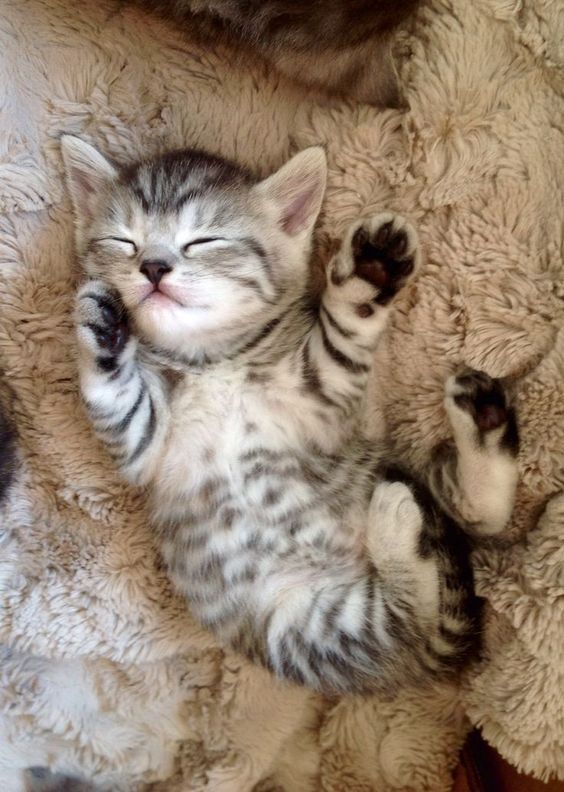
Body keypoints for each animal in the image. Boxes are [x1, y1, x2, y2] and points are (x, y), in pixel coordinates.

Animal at [62, 139, 520, 696]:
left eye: (203, 241)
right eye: (122, 241)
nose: (152, 266)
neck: (211, 361)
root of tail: (435, 664)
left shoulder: (319, 394)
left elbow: (342, 338)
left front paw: (367, 275)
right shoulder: (145, 448)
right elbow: (116, 400)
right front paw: (103, 330)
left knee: (460, 543)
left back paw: (463, 445)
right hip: (302, 626)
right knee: (409, 613)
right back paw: (418, 501)